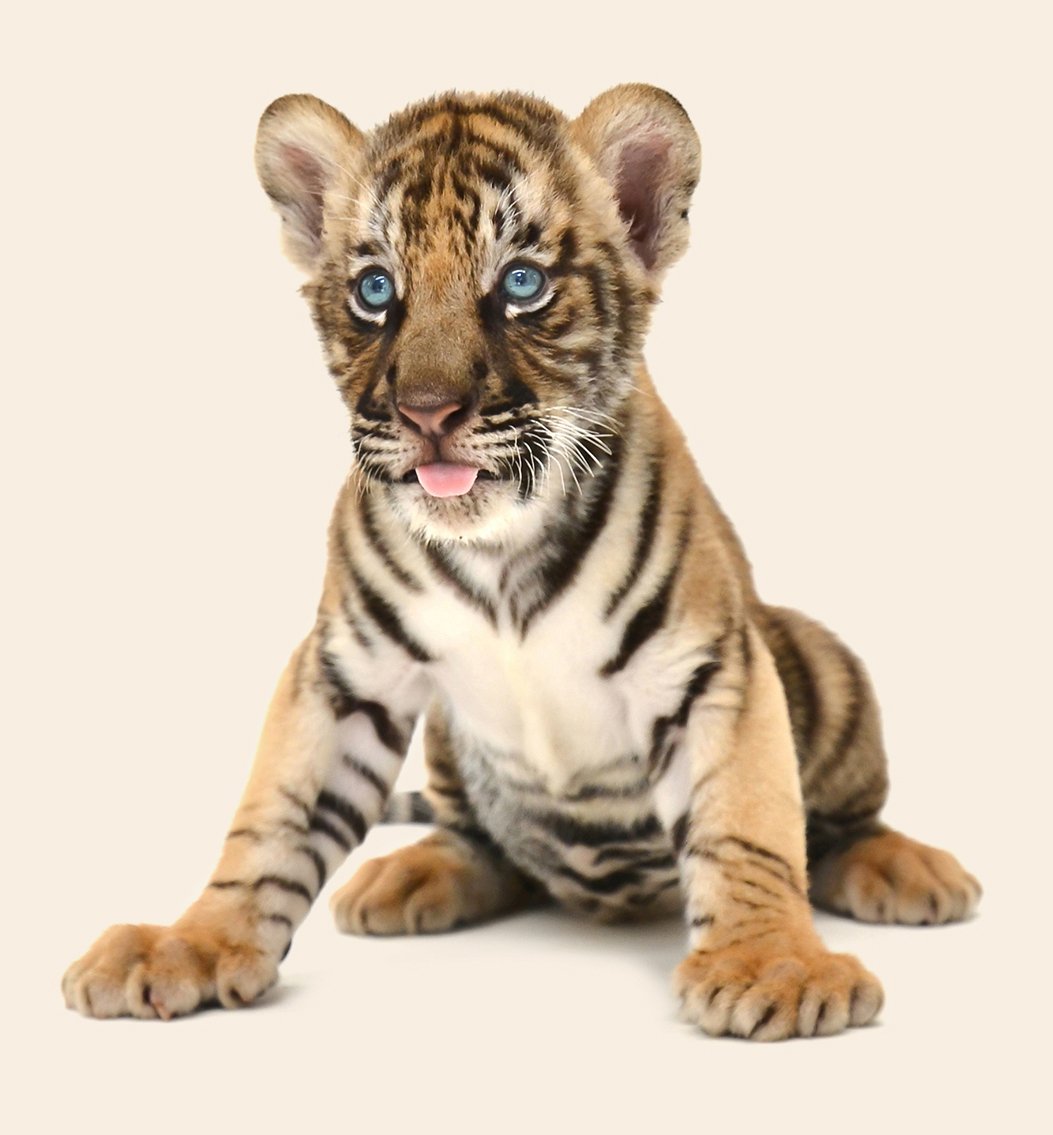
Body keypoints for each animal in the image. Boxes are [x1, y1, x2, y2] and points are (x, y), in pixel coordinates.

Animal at [62, 84, 981, 1040]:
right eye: (375, 289)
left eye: (520, 284)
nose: (427, 411)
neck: (496, 551)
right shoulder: (346, 671)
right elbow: (270, 819)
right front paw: (189, 943)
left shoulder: (708, 665)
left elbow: (745, 817)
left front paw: (771, 964)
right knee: (480, 842)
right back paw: (415, 874)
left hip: (821, 658)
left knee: (841, 825)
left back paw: (906, 869)